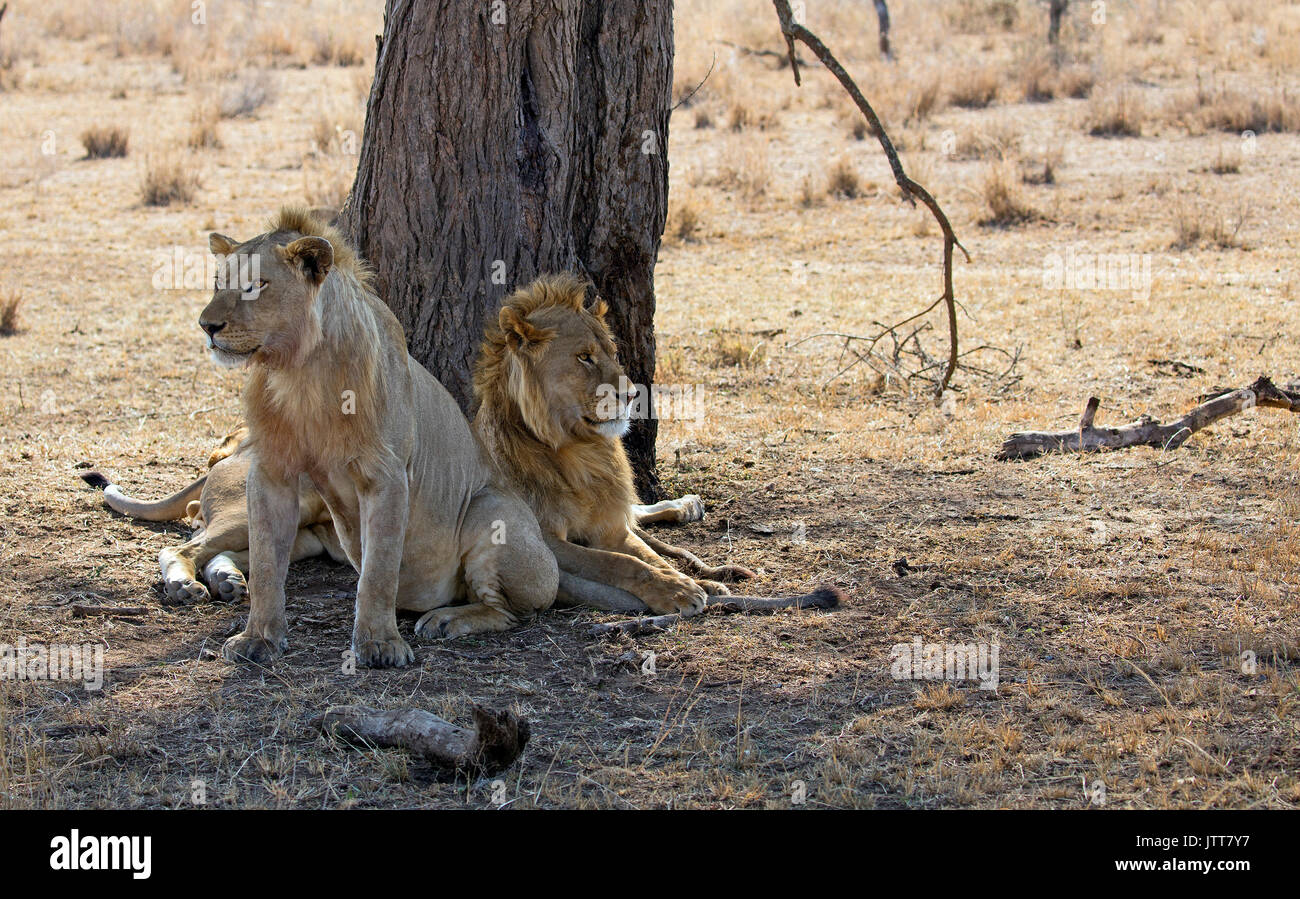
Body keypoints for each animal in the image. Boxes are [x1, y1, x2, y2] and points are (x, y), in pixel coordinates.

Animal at [194, 206, 557, 666]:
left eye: (257, 285)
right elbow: (264, 565)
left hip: (492, 509)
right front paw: (257, 638)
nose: (207, 325)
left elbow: (379, 570)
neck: (298, 372)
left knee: (509, 610)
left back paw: (445, 620)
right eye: (218, 284)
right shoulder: (270, 473)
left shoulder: (386, 475)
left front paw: (379, 644)